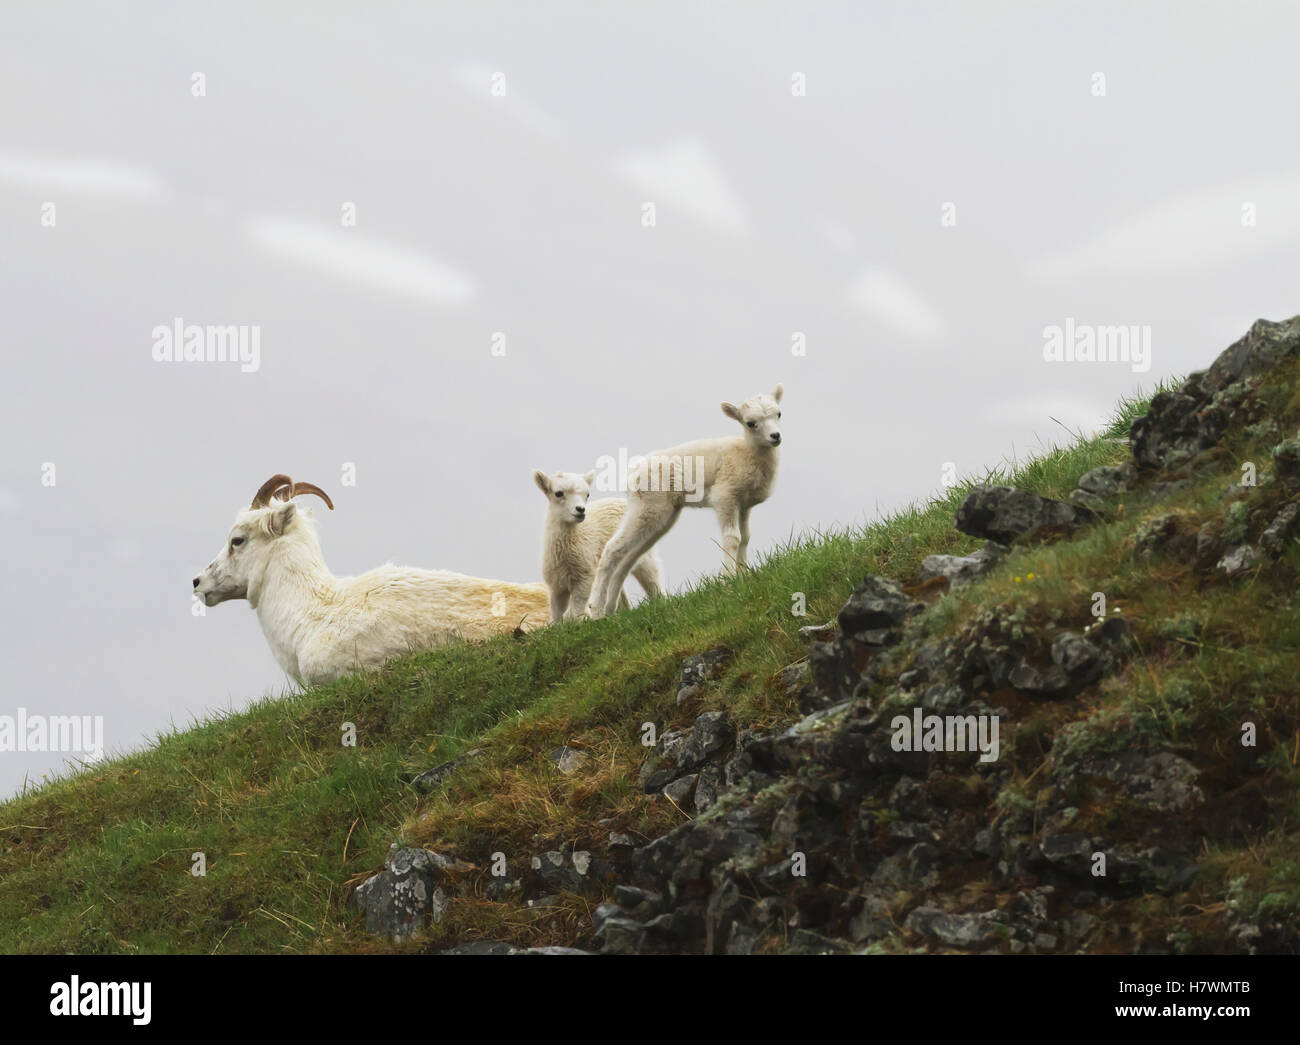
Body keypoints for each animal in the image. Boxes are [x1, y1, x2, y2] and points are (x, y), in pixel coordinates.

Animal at [533, 469, 663, 621]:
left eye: (587, 494)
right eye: (558, 493)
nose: (580, 510)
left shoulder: (585, 575)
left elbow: (575, 611)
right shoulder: (556, 584)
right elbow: (556, 613)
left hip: (641, 548)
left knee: (651, 575)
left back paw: (660, 603)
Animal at [585, 384, 783, 619]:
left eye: (779, 414)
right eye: (751, 423)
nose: (775, 436)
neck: (747, 452)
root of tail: (632, 474)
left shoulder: (744, 505)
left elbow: (745, 538)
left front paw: (743, 576)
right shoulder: (725, 496)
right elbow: (733, 538)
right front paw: (729, 580)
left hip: (662, 515)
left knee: (630, 558)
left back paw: (610, 610)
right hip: (647, 508)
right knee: (612, 549)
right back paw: (596, 609)